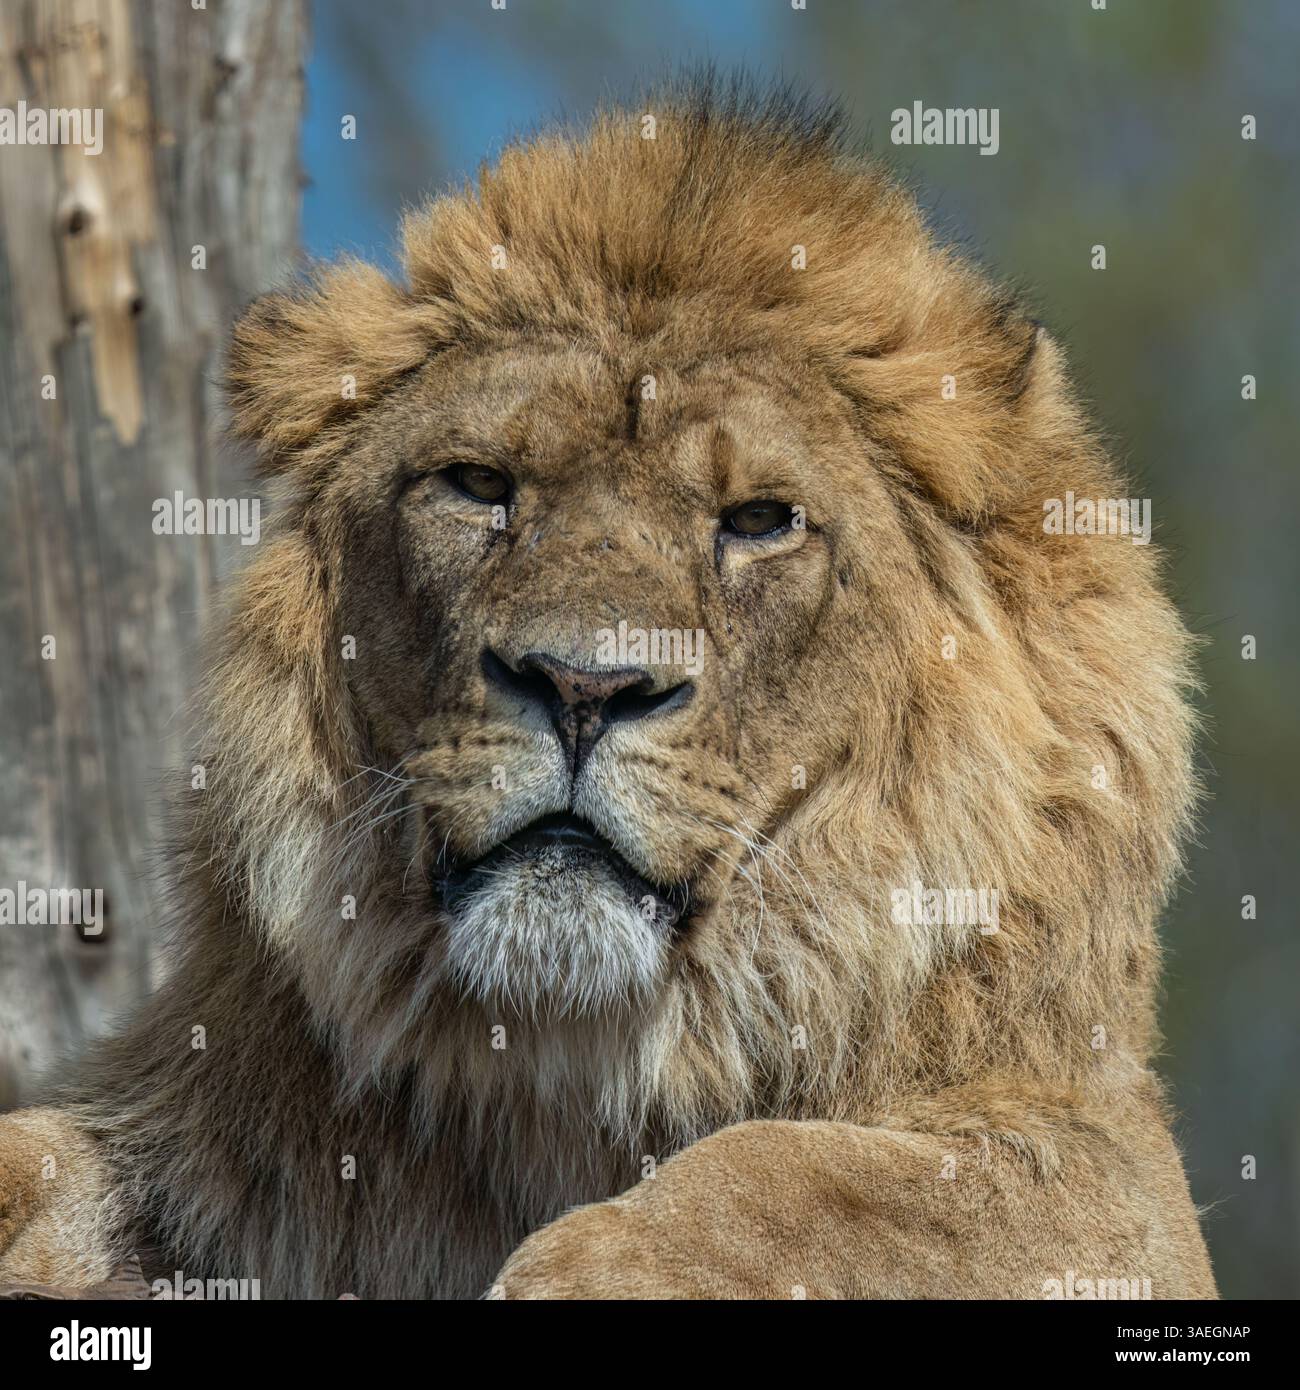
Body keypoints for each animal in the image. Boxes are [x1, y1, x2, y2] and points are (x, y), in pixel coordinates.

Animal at [0, 77, 1215, 1299]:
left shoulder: (1102, 1150)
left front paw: (586, 1266)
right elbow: (39, 1154)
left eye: (759, 519)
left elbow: (815, 1181)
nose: (582, 687)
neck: (570, 1067)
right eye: (478, 484)